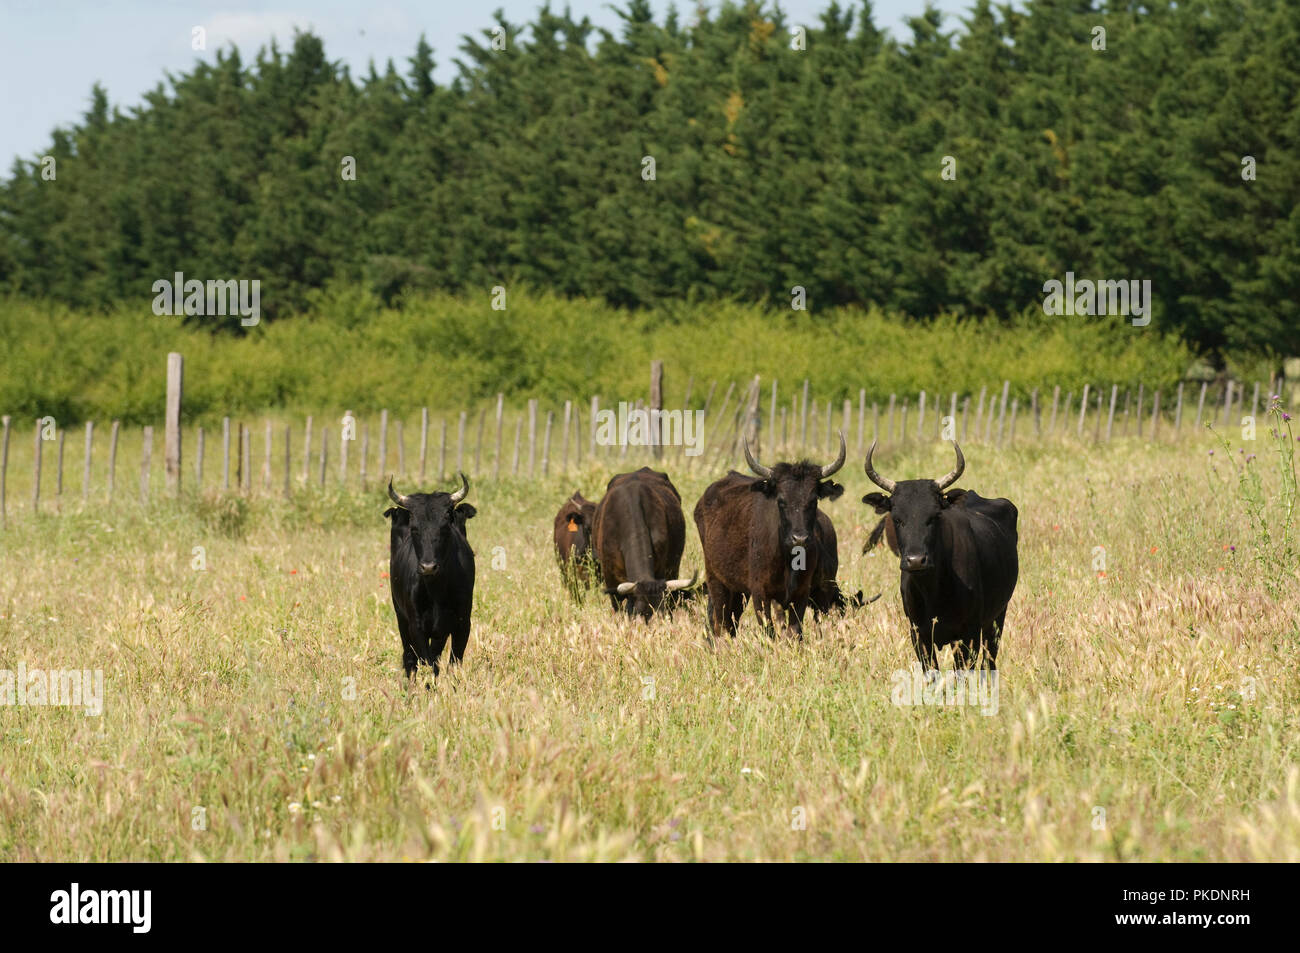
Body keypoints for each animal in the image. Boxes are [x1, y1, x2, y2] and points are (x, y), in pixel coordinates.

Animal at [383, 474, 477, 678]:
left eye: (444, 527)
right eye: (414, 528)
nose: (428, 567)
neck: (437, 591)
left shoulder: (462, 623)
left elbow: (453, 662)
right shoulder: (416, 626)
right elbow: (427, 663)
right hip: (401, 617)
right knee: (410, 658)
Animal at [693, 432, 846, 638]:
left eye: (813, 500)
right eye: (781, 501)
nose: (800, 539)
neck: (788, 559)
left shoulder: (801, 593)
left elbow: (795, 631)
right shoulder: (761, 594)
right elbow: (768, 631)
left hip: (738, 589)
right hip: (716, 579)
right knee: (719, 622)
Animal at [861, 440, 1018, 671]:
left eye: (934, 515)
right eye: (897, 518)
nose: (916, 560)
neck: (932, 590)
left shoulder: (968, 635)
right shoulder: (919, 635)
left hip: (997, 617)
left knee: (989, 662)